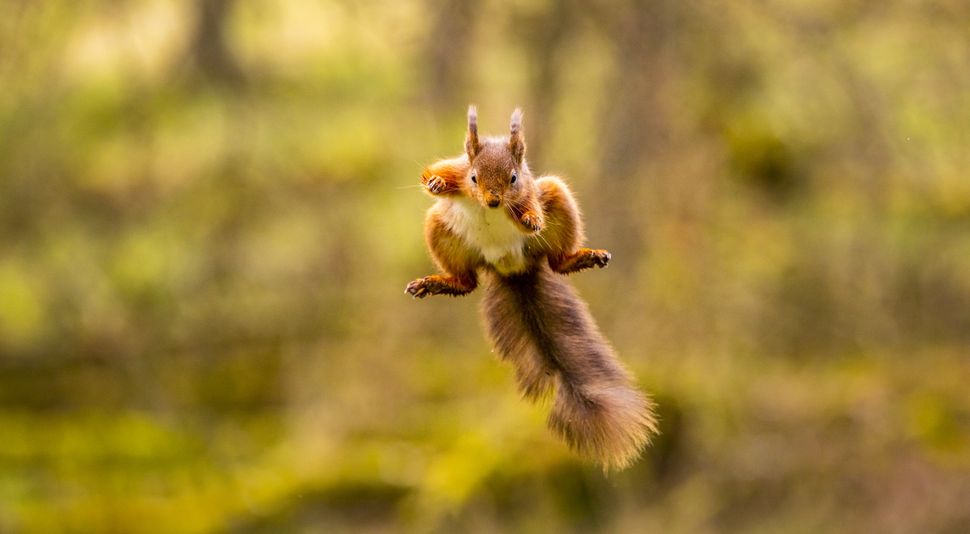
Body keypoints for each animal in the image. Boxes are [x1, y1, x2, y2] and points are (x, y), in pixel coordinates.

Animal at [406, 106, 658, 470]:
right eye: (473, 178)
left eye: (513, 178)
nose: (493, 201)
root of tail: (512, 268)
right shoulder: (457, 168)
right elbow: (434, 172)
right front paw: (436, 182)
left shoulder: (528, 192)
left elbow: (530, 208)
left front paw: (530, 219)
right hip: (439, 228)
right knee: (466, 282)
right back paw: (438, 282)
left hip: (555, 198)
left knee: (557, 261)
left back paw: (582, 257)